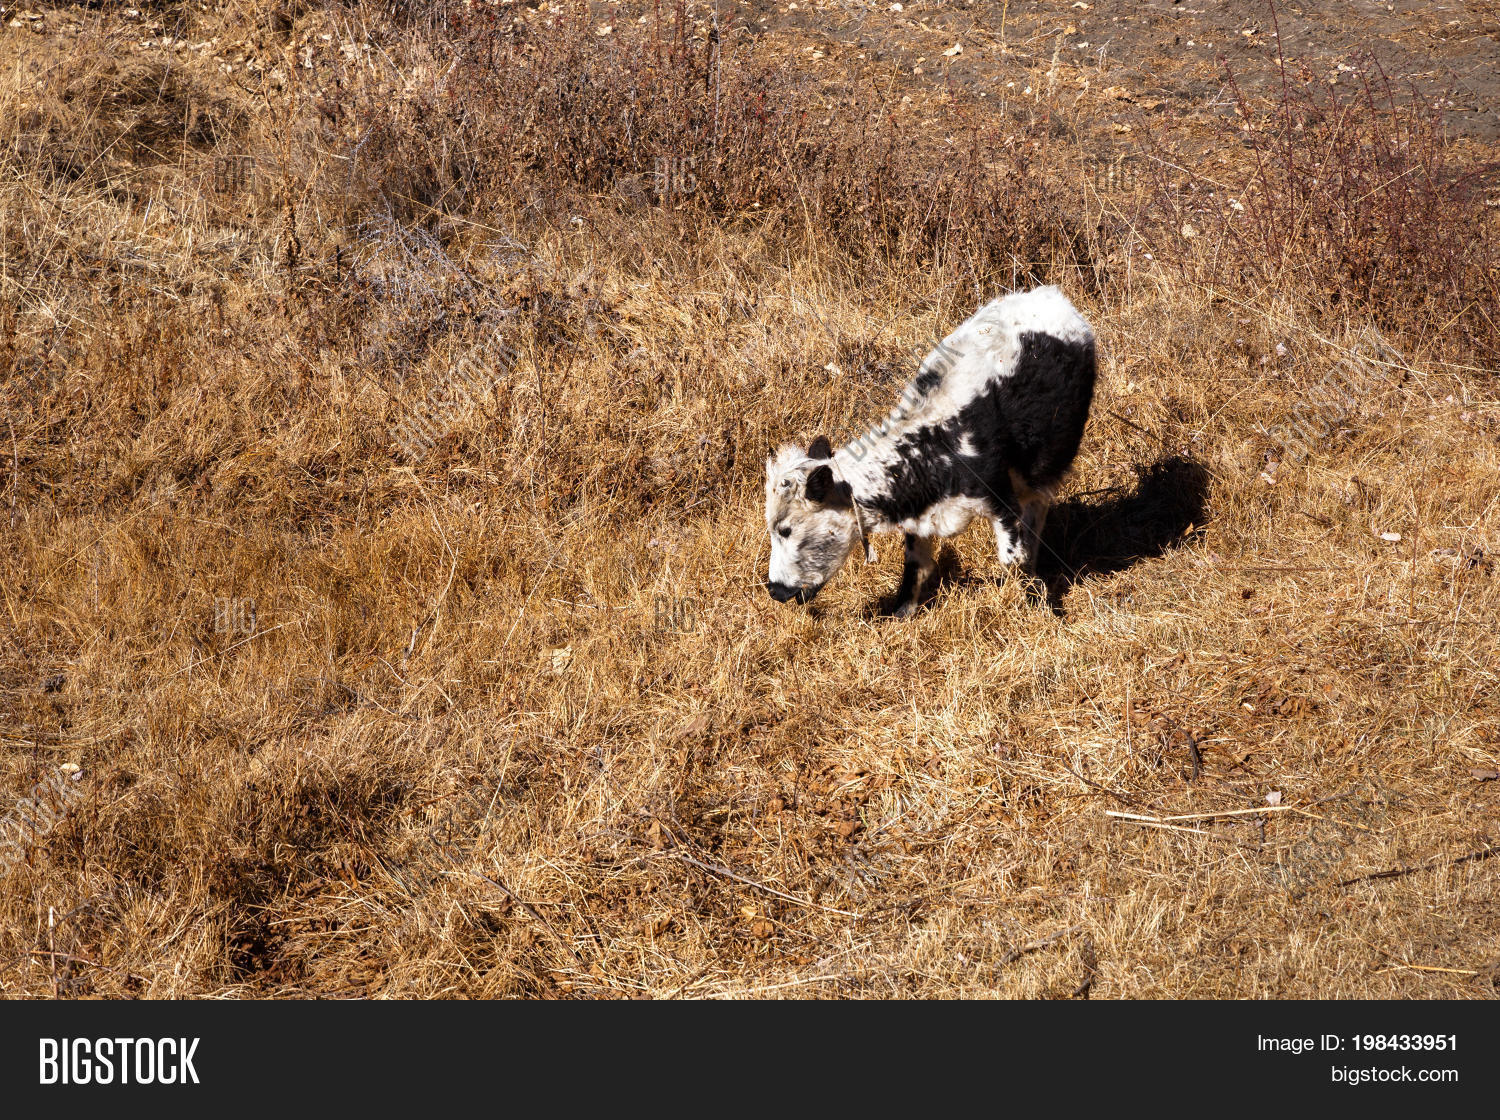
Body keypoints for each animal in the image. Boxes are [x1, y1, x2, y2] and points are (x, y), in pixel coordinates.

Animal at [764, 285, 1096, 616]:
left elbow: (1014, 559)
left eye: (785, 530)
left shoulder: (1002, 502)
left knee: (1036, 512)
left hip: (1047, 465)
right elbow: (915, 564)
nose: (774, 589)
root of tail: (1045, 294)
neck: (938, 445)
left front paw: (1038, 608)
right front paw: (901, 613)